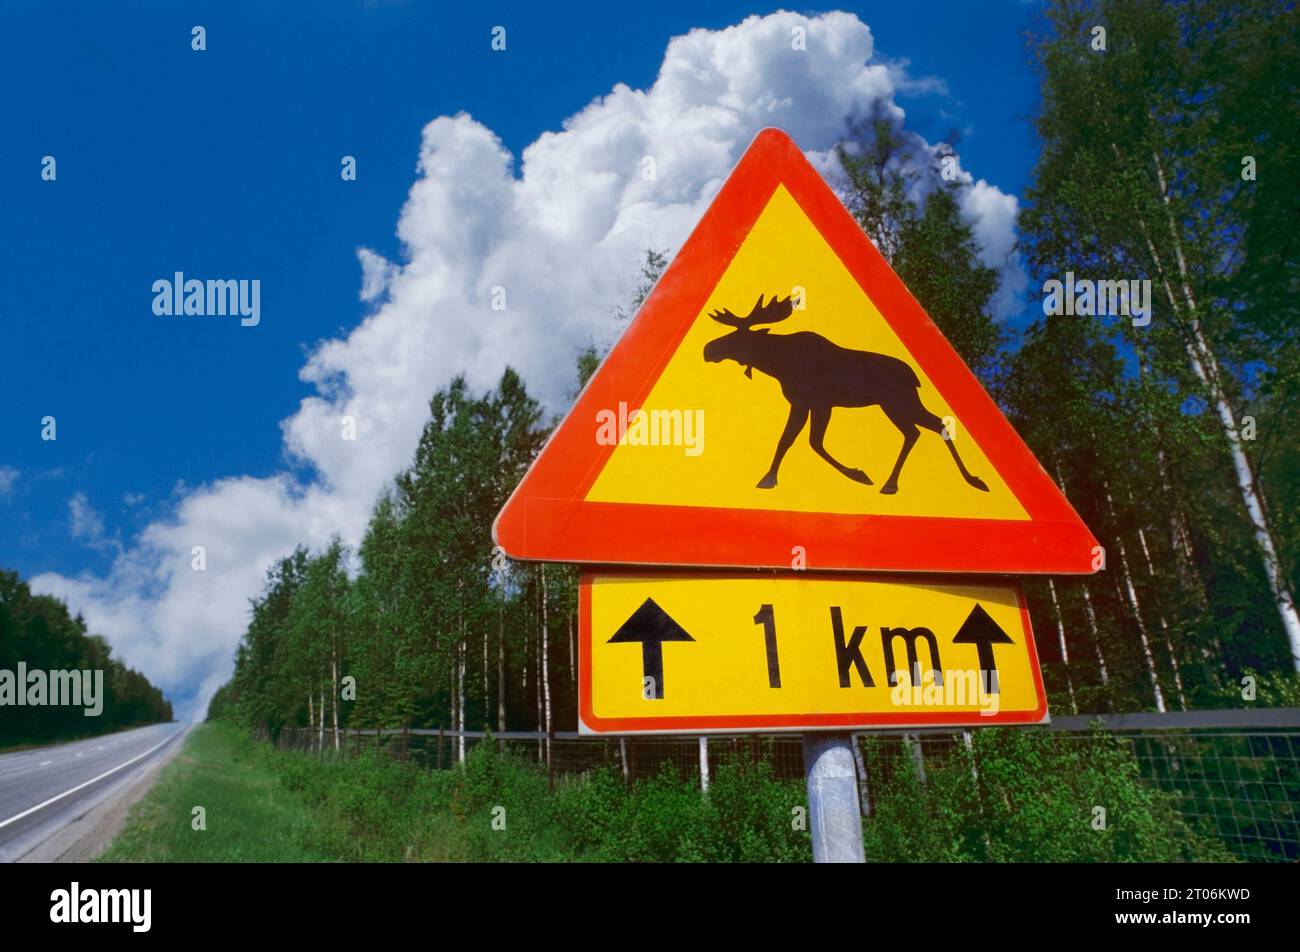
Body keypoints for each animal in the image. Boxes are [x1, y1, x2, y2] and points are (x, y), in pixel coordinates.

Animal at [702, 294, 990, 495]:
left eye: (742, 339)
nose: (708, 349)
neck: (779, 364)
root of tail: (915, 378)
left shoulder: (816, 402)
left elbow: (807, 441)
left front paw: (858, 474)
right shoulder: (807, 403)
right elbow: (794, 440)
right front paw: (769, 477)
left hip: (897, 402)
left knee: (922, 429)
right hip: (901, 403)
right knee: (928, 426)